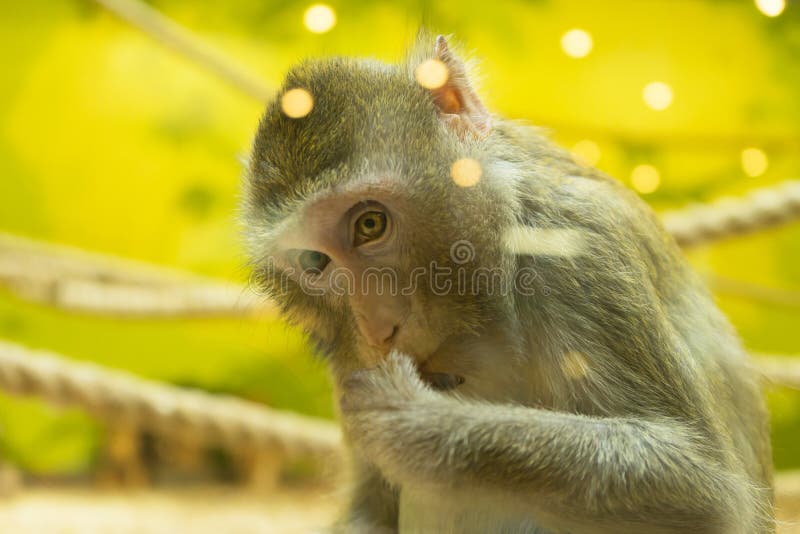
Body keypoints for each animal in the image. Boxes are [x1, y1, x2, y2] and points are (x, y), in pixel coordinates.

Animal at [242, 33, 774, 533]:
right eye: (314, 261)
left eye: (370, 225)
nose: (378, 329)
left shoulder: (579, 252)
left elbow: (699, 488)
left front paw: (415, 422)